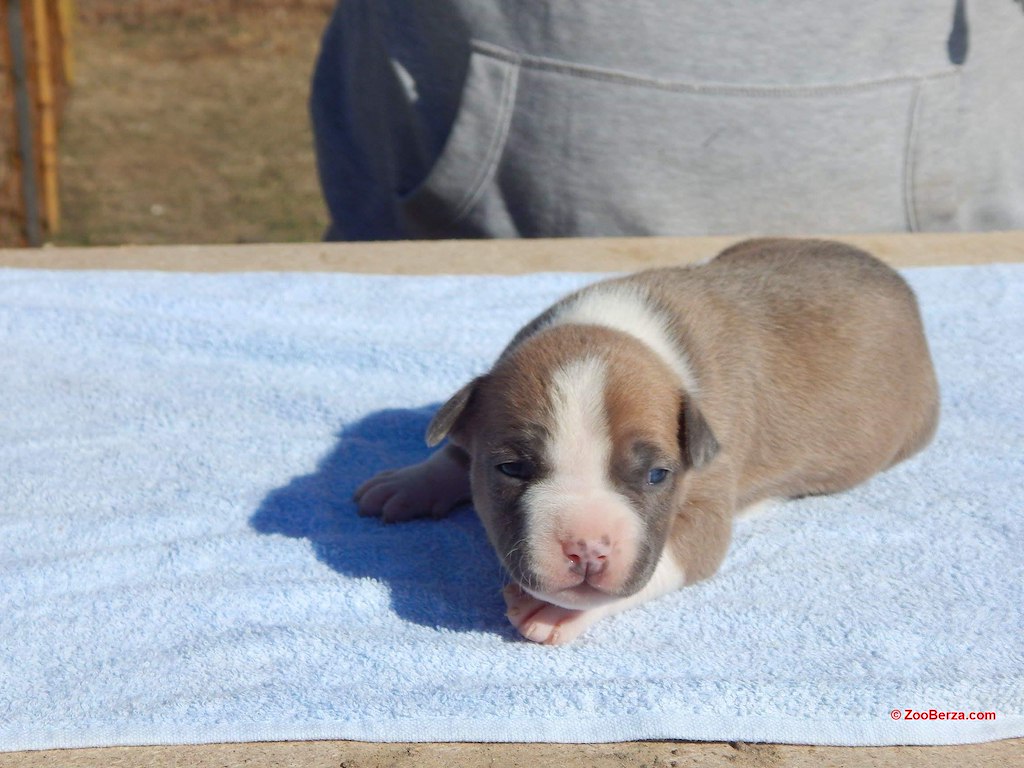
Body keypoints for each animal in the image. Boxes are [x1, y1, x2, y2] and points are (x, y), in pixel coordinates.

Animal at [356, 237, 937, 647]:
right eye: (511, 469)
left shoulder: (706, 500)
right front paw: (409, 481)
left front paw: (557, 610)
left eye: (658, 475)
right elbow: (458, 445)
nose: (587, 549)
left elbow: (668, 559)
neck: (616, 329)